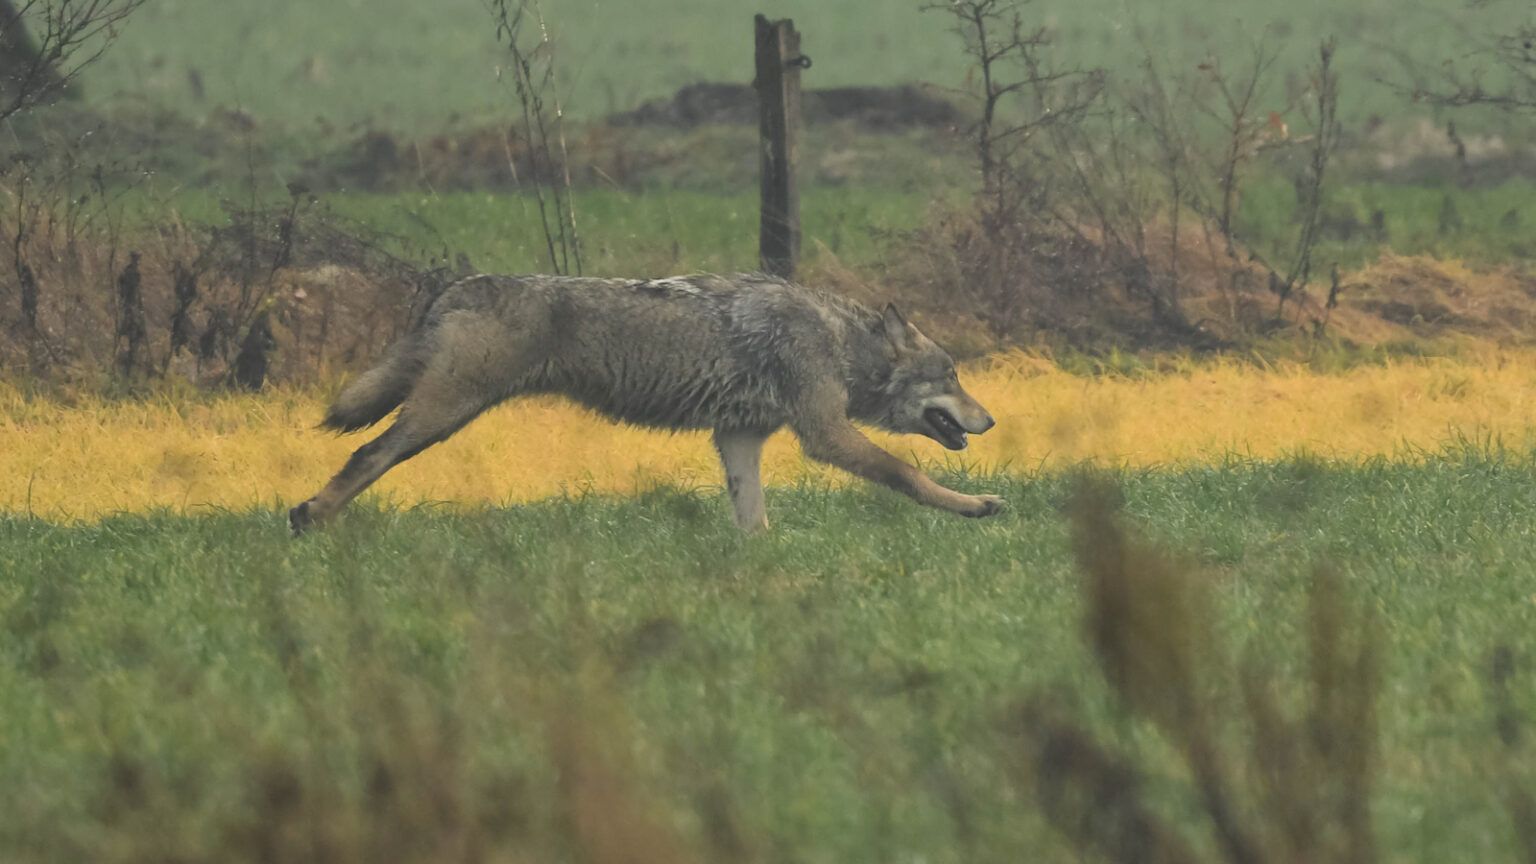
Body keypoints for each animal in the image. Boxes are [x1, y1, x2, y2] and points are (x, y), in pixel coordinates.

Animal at [288, 272, 1003, 535]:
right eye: (953, 376)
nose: (991, 419)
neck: (839, 341)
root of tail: (455, 288)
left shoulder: (739, 438)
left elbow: (753, 519)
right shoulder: (825, 436)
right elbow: (908, 473)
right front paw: (975, 506)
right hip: (442, 414)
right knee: (366, 453)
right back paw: (308, 516)